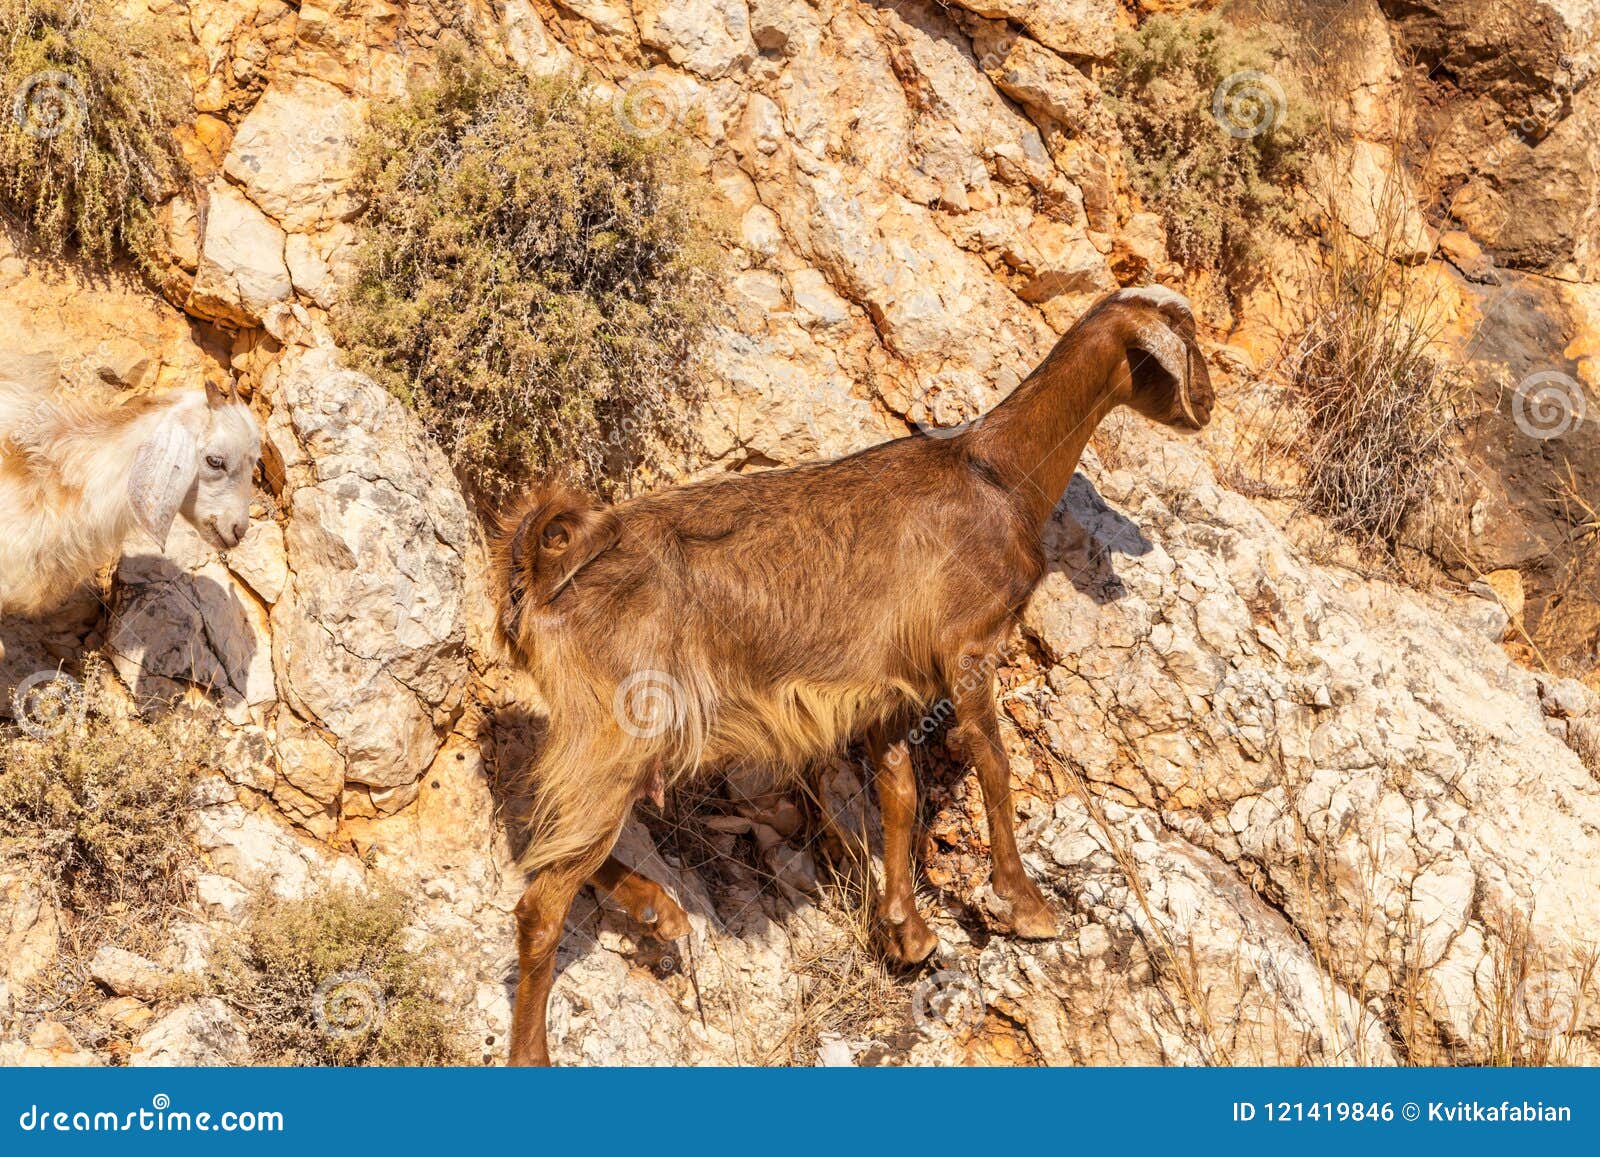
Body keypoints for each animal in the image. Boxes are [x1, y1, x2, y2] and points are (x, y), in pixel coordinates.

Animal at [493, 285, 1214, 1065]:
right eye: (1180, 347)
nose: (1206, 405)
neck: (998, 472)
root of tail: (540, 577)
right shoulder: (966, 649)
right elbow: (991, 761)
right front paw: (1025, 905)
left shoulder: (892, 688)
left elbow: (899, 791)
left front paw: (907, 931)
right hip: (617, 729)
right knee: (542, 899)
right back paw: (536, 1047)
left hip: (600, 740)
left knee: (552, 835)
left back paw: (661, 912)